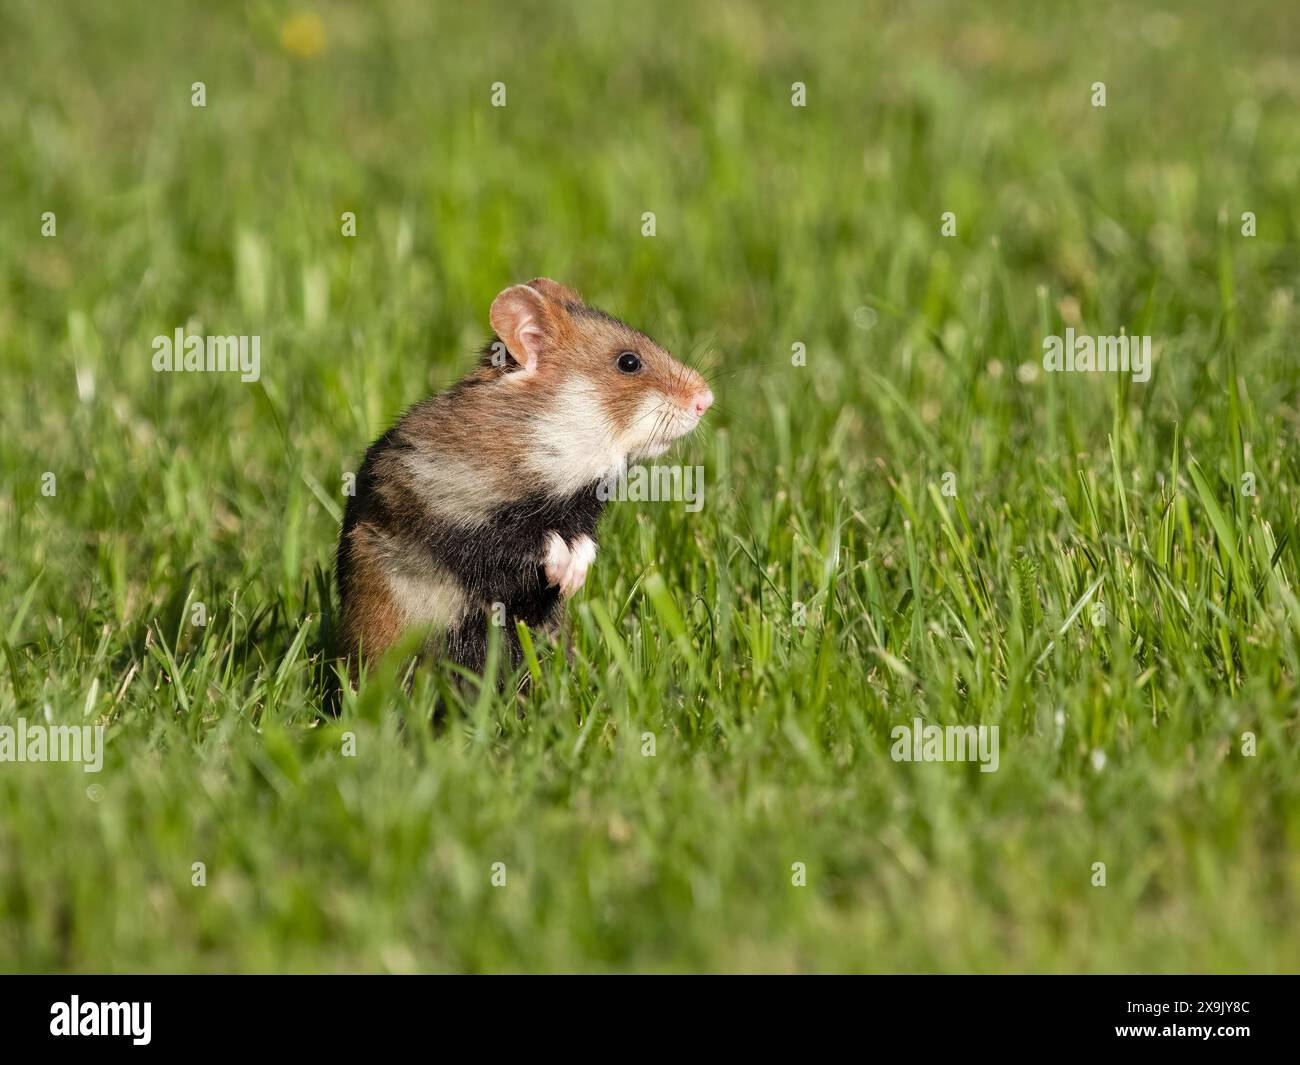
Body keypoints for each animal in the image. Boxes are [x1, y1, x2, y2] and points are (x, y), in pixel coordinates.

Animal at [335, 278, 713, 682]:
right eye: (629, 362)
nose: (706, 400)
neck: (545, 436)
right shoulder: (446, 506)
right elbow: (526, 541)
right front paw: (562, 574)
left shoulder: (579, 515)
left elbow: (583, 545)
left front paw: (574, 580)